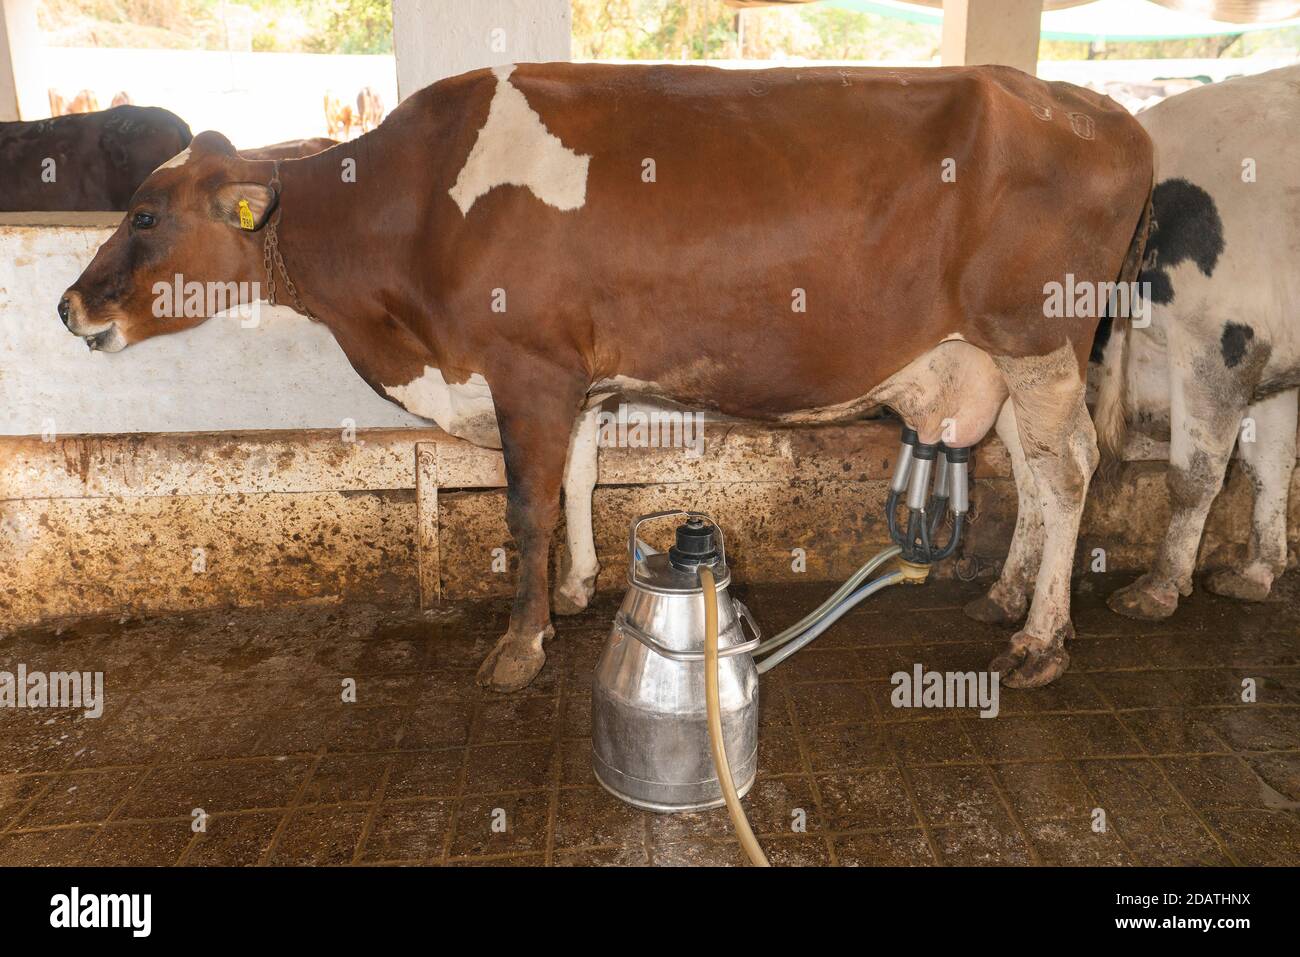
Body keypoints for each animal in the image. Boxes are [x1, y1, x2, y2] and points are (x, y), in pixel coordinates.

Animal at [57, 62, 1153, 692]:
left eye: (146, 214)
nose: (70, 306)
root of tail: (1099, 109)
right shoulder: (572, 377)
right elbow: (578, 481)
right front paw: (580, 590)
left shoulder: (526, 370)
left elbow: (528, 507)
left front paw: (518, 646)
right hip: (998, 352)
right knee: (1032, 467)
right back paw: (1005, 598)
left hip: (1037, 335)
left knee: (1065, 471)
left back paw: (1041, 642)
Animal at [1091, 65, 1300, 620]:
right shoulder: (1272, 363)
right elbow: (1271, 466)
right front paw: (1255, 573)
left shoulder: (1222, 343)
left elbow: (1195, 477)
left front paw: (1158, 587)